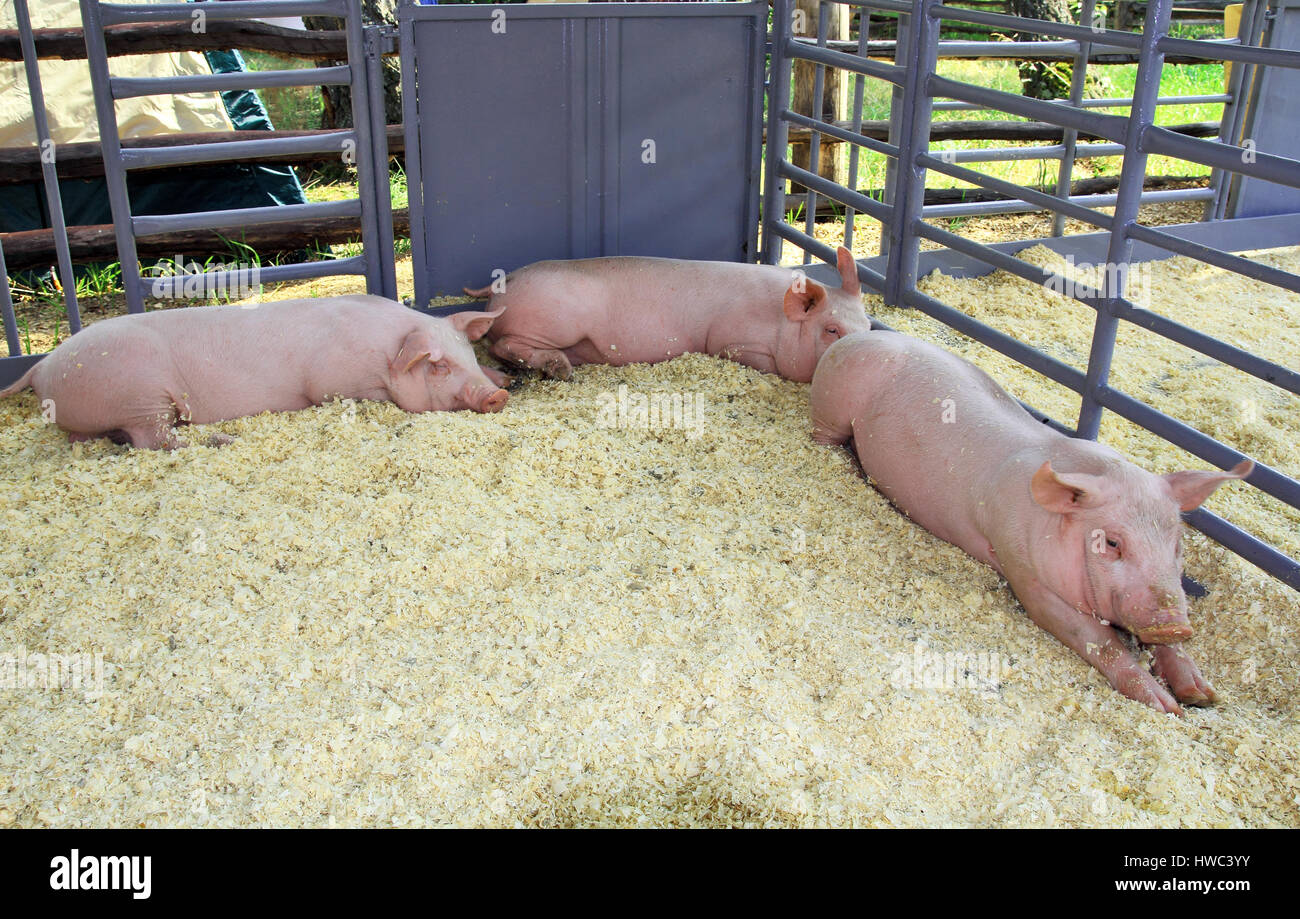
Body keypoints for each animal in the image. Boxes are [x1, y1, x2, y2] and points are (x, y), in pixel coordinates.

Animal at [0, 294, 511, 450]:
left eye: (468, 355)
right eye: (437, 366)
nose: (497, 397)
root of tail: (43, 365)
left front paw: (504, 376)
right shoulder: (332, 384)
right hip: (140, 396)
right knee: (154, 440)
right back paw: (223, 440)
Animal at [462, 246, 871, 383]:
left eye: (867, 325)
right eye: (831, 330)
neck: (780, 319)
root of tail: (503, 281)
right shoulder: (732, 340)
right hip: (557, 323)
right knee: (502, 346)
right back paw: (560, 369)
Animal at [810, 330, 1254, 715]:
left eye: (1177, 545)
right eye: (1111, 542)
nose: (1175, 624)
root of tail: (857, 336)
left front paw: (1201, 695)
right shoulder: (1023, 570)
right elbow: (1098, 641)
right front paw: (1165, 707)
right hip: (832, 408)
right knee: (826, 442)